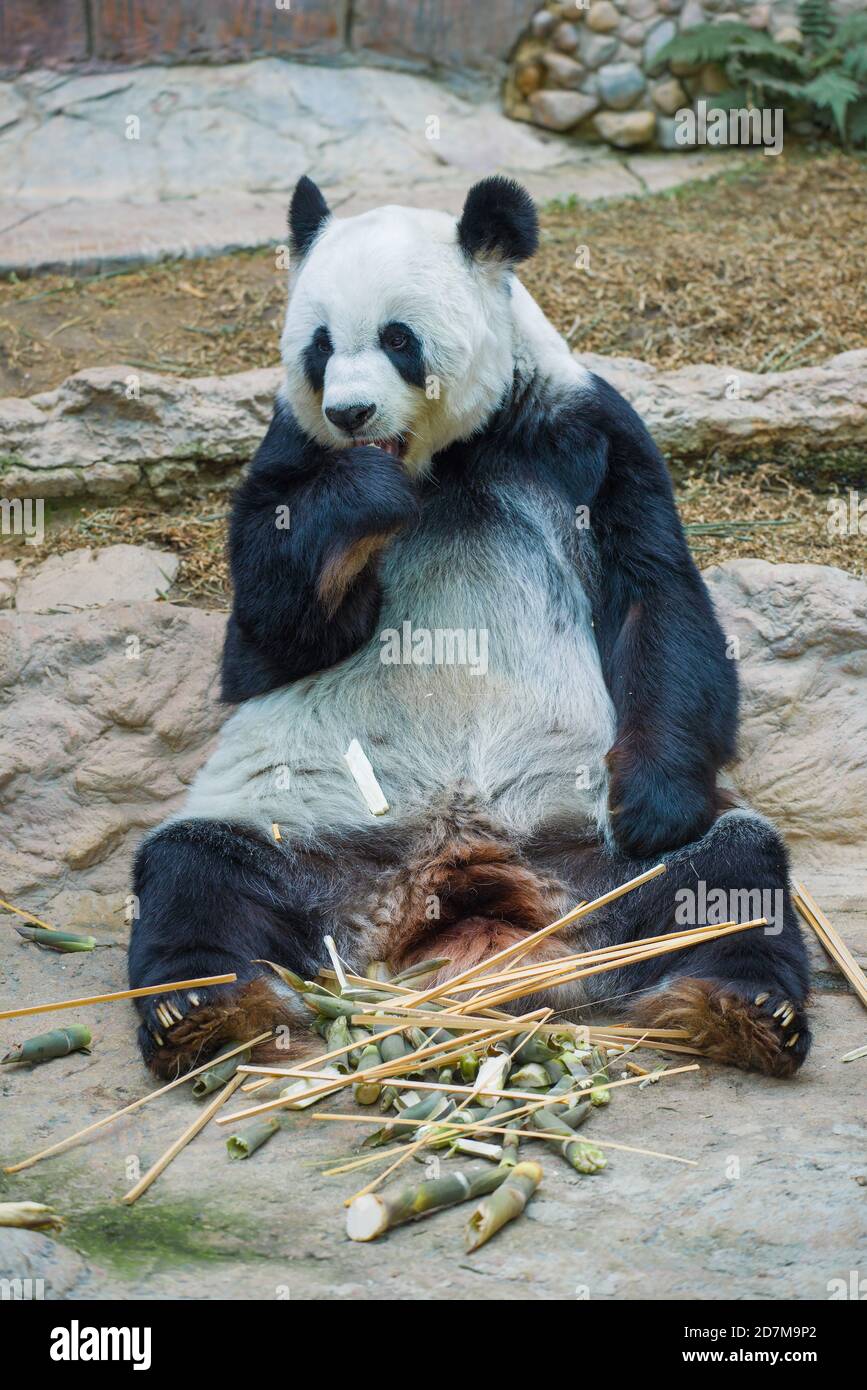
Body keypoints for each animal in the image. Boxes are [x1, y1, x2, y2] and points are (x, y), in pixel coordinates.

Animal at [128, 175, 811, 1080]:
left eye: (397, 338)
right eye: (318, 346)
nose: (350, 412)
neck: (439, 460)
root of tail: (456, 874)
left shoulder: (583, 432)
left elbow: (654, 597)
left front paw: (653, 807)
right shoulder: (288, 447)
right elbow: (261, 646)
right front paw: (361, 499)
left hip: (583, 851)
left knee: (726, 874)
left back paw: (741, 1007)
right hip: (304, 837)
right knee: (196, 872)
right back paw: (206, 1009)